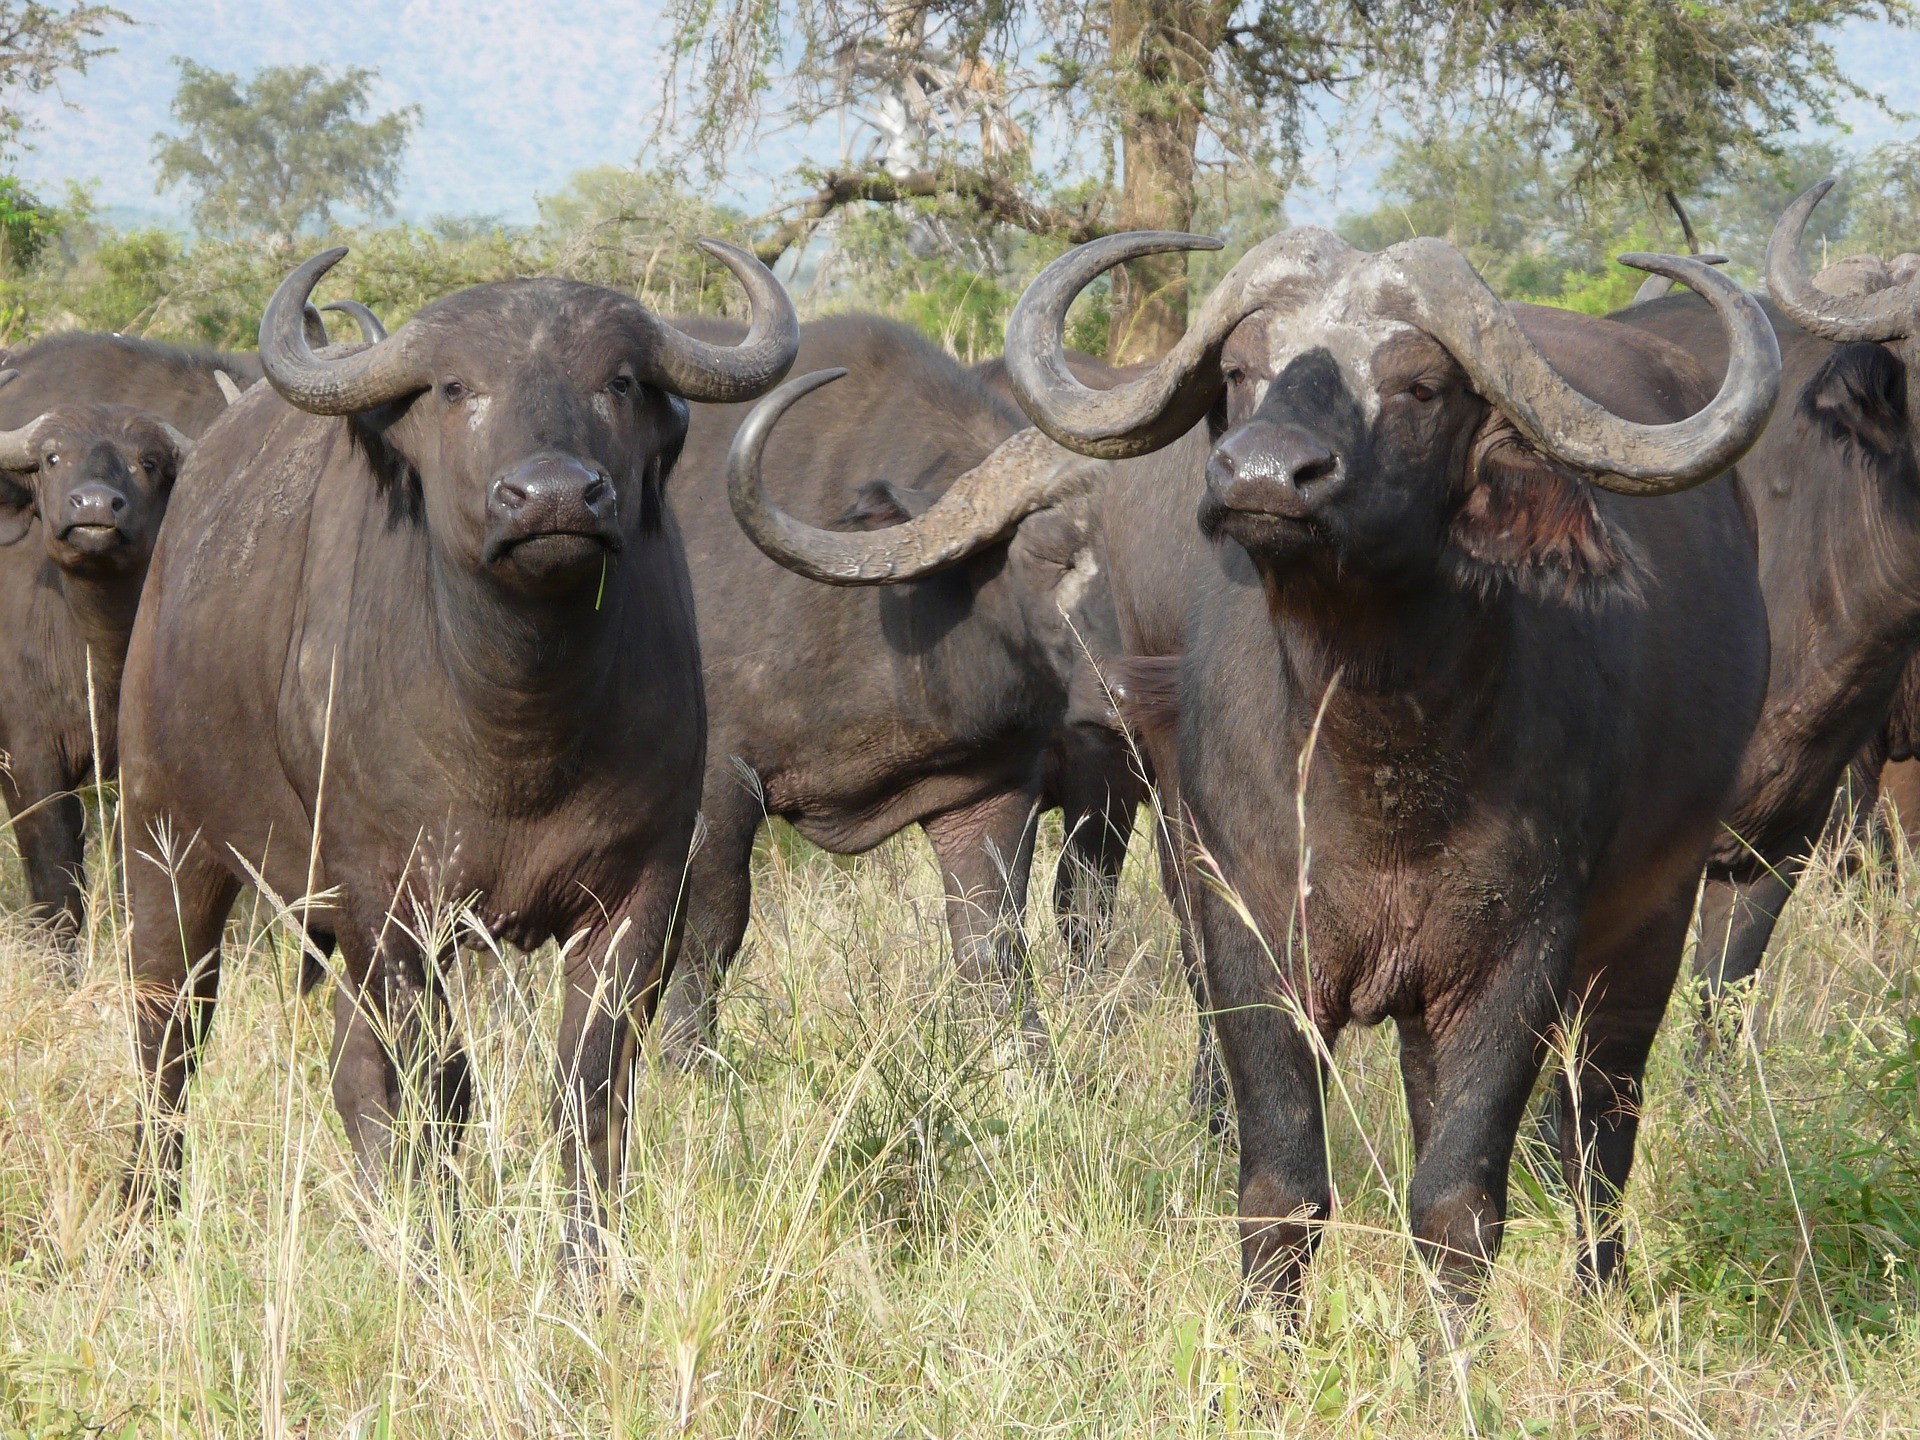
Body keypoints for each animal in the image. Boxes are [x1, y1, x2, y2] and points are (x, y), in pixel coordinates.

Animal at [116, 243, 797, 1261]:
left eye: (619, 380)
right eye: (454, 386)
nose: (552, 495)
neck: (519, 728)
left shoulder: (640, 893)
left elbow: (589, 1085)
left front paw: (586, 1259)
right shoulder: (391, 904)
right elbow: (441, 1085)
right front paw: (444, 1241)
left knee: (349, 1069)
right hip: (166, 846)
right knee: (169, 1040)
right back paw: (148, 1220)